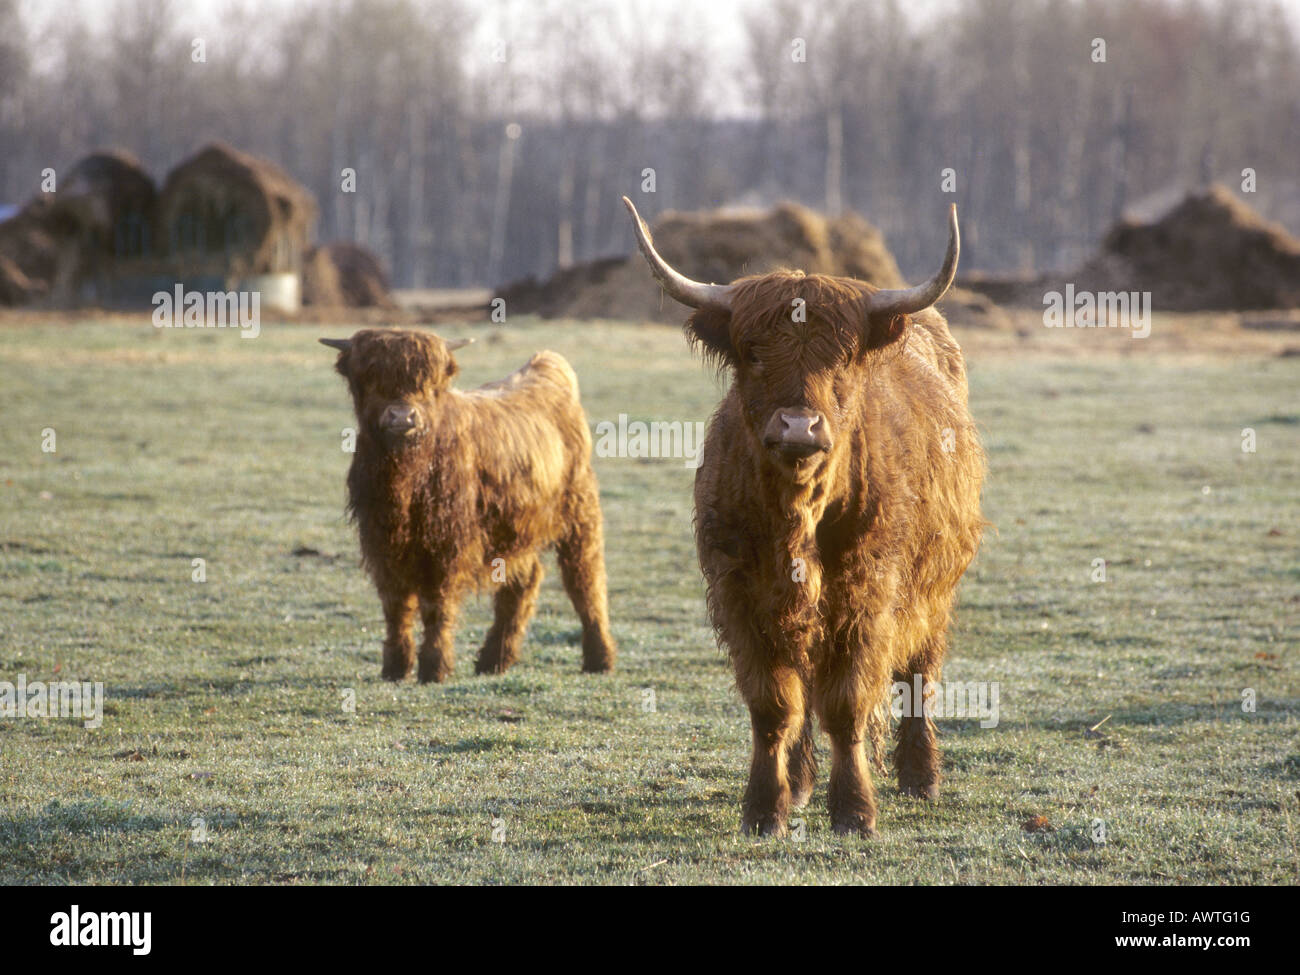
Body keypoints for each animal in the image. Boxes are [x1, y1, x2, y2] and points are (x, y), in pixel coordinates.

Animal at [320, 328, 616, 683]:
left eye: (430, 381)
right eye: (369, 375)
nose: (402, 416)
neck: (406, 482)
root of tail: (545, 367)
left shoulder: (447, 544)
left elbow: (436, 605)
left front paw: (434, 667)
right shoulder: (381, 544)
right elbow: (396, 607)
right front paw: (395, 667)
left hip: (580, 512)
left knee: (585, 581)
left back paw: (599, 659)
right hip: (514, 528)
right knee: (524, 581)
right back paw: (495, 659)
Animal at [623, 197, 985, 837]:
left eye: (841, 357)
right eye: (752, 353)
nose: (798, 427)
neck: (798, 516)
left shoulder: (868, 594)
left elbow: (846, 702)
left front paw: (855, 811)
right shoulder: (740, 592)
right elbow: (775, 704)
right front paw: (766, 807)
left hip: (934, 589)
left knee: (919, 672)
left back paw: (921, 777)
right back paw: (799, 784)